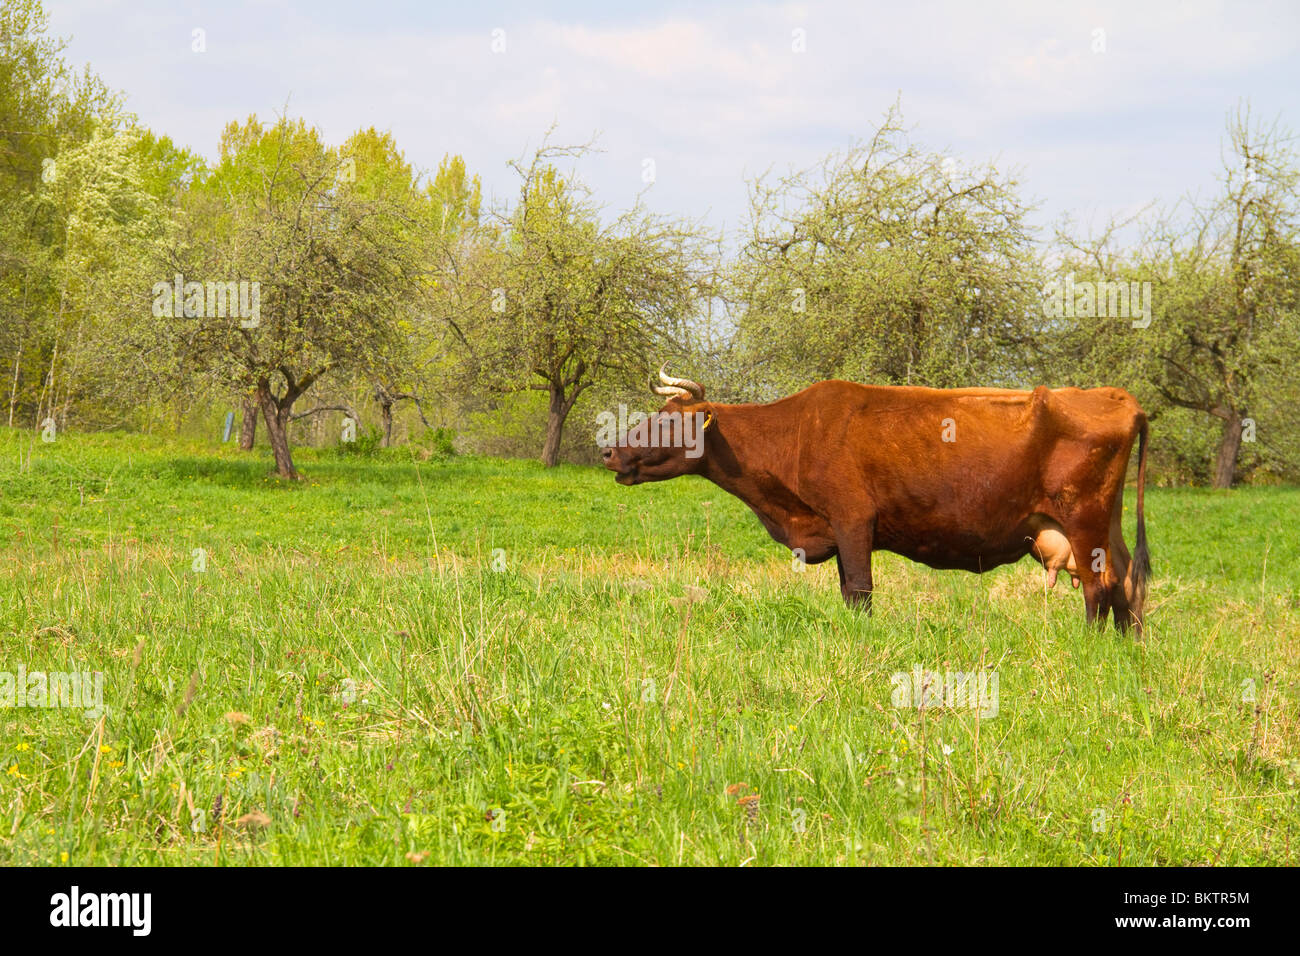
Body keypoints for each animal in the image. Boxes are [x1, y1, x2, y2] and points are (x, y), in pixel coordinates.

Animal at [601, 367, 1151, 635]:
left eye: (669, 422)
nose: (609, 451)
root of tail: (1116, 396)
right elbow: (848, 593)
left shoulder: (852, 520)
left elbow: (860, 591)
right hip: (1106, 524)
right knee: (1126, 579)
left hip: (1084, 520)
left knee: (1099, 587)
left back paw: (1089, 645)